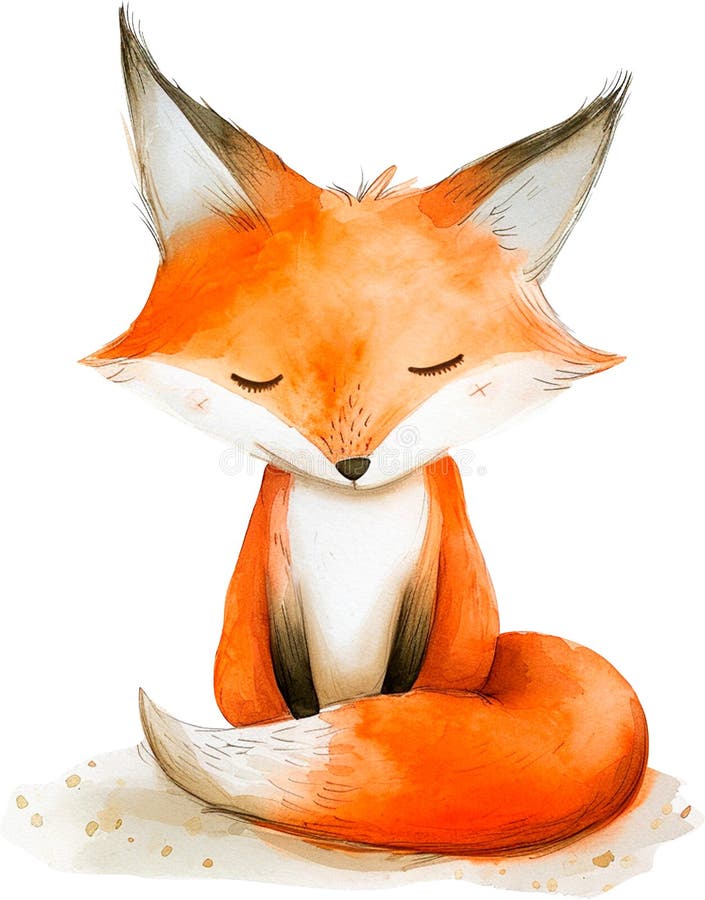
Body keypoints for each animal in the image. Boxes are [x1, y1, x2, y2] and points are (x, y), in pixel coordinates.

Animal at [81, 10, 648, 856]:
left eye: (433, 366)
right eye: (256, 379)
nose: (352, 465)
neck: (351, 527)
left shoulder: (442, 595)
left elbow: (413, 684)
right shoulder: (267, 588)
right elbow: (274, 697)